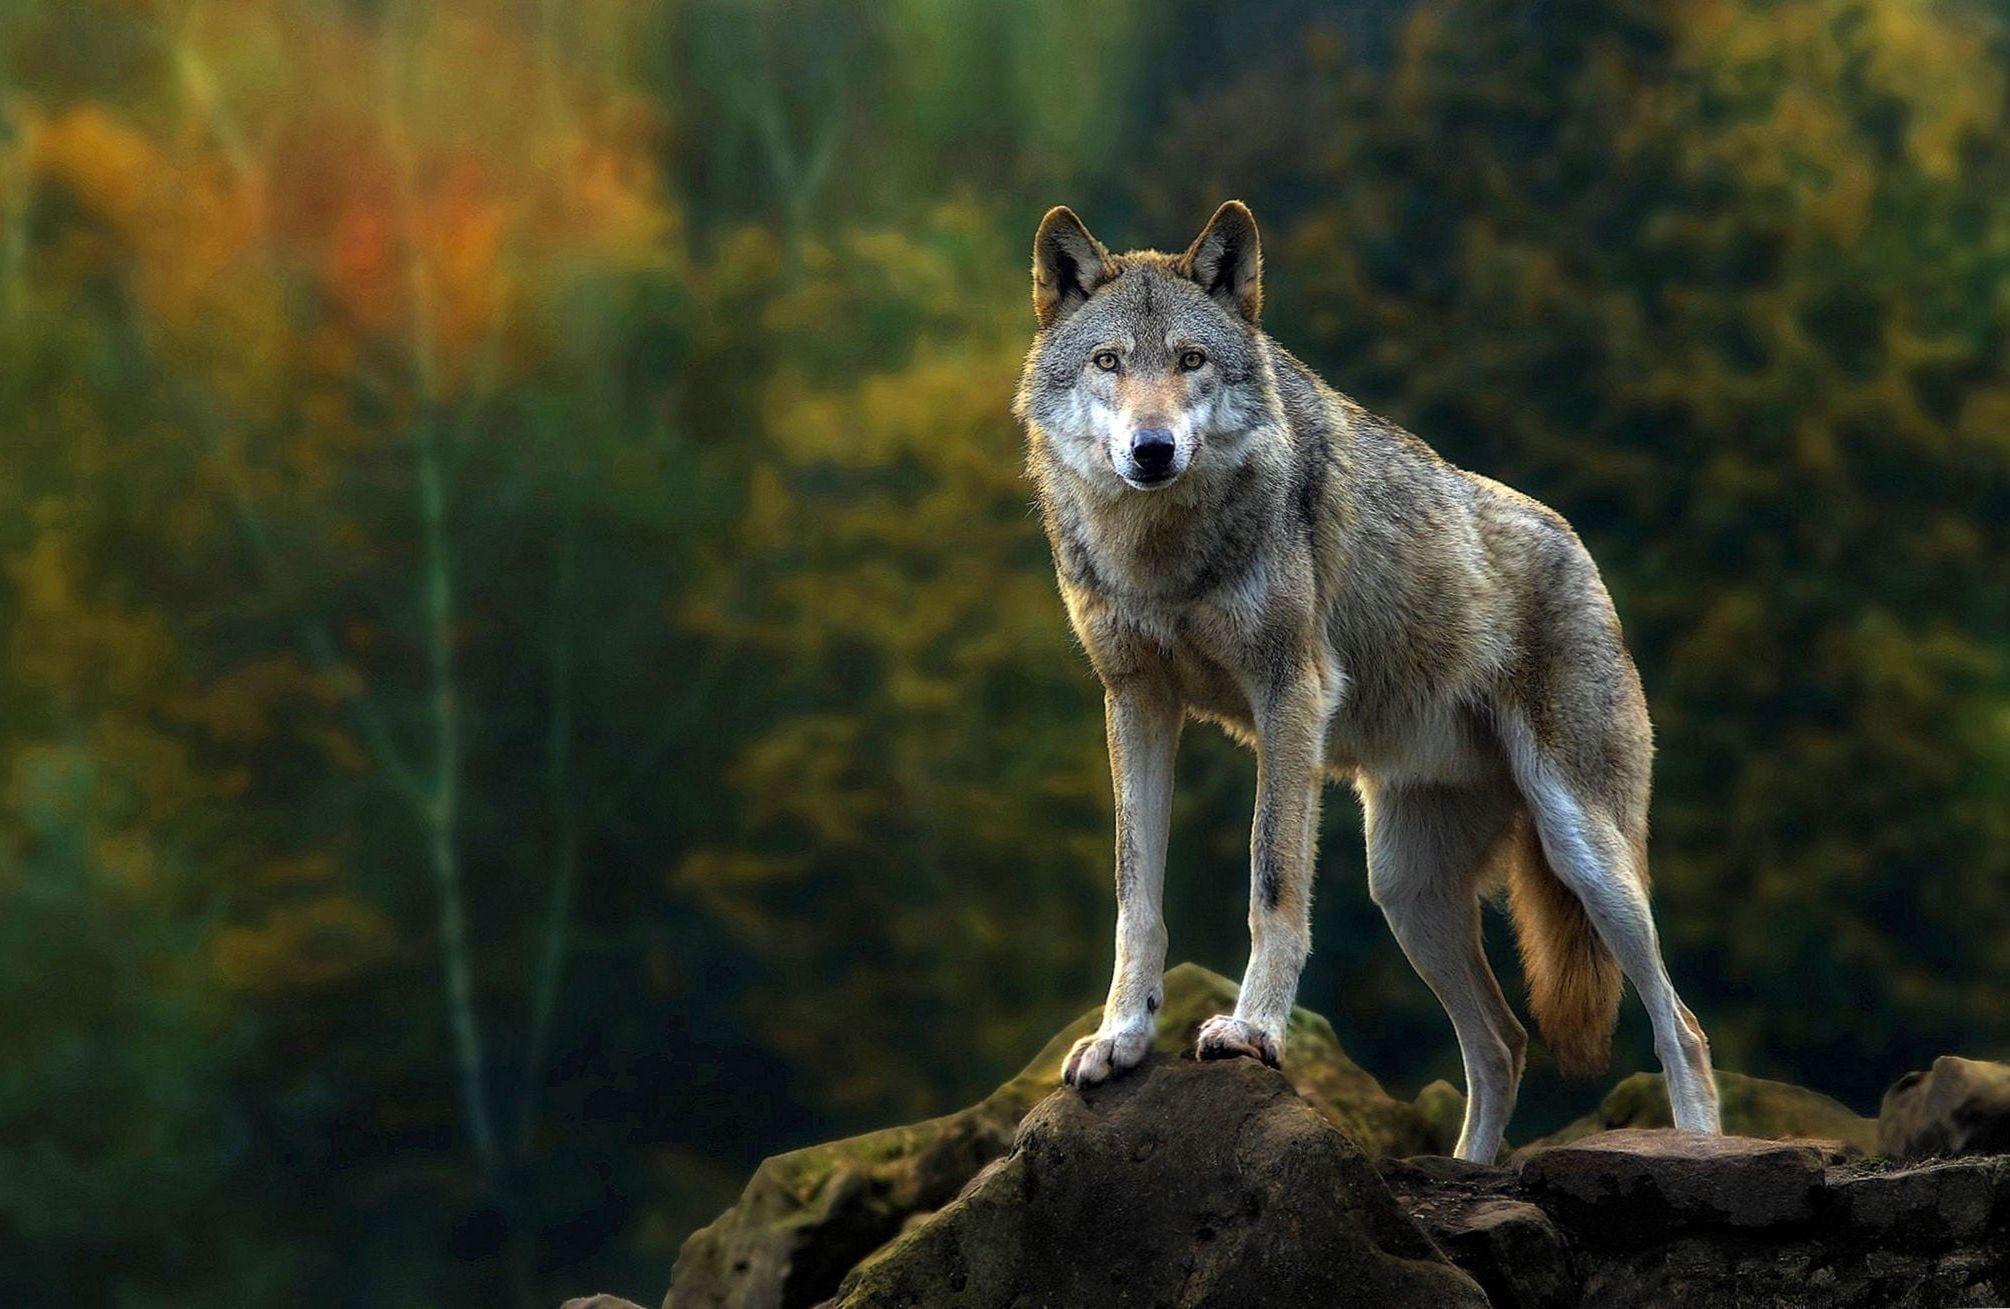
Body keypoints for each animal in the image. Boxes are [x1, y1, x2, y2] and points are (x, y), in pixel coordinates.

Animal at [1012, 201, 1723, 1163]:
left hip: (1584, 851)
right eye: (1109, 361)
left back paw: (1699, 1146)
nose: (1151, 450)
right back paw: (1466, 1167)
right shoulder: (1135, 701)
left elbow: (1271, 881)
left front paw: (1251, 1030)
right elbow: (1137, 898)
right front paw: (1121, 1036)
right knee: (1502, 1042)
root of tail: (1578, 549)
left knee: (1680, 1025)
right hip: (1405, 887)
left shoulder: (1290, 694)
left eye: (1191, 360)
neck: (1163, 553)